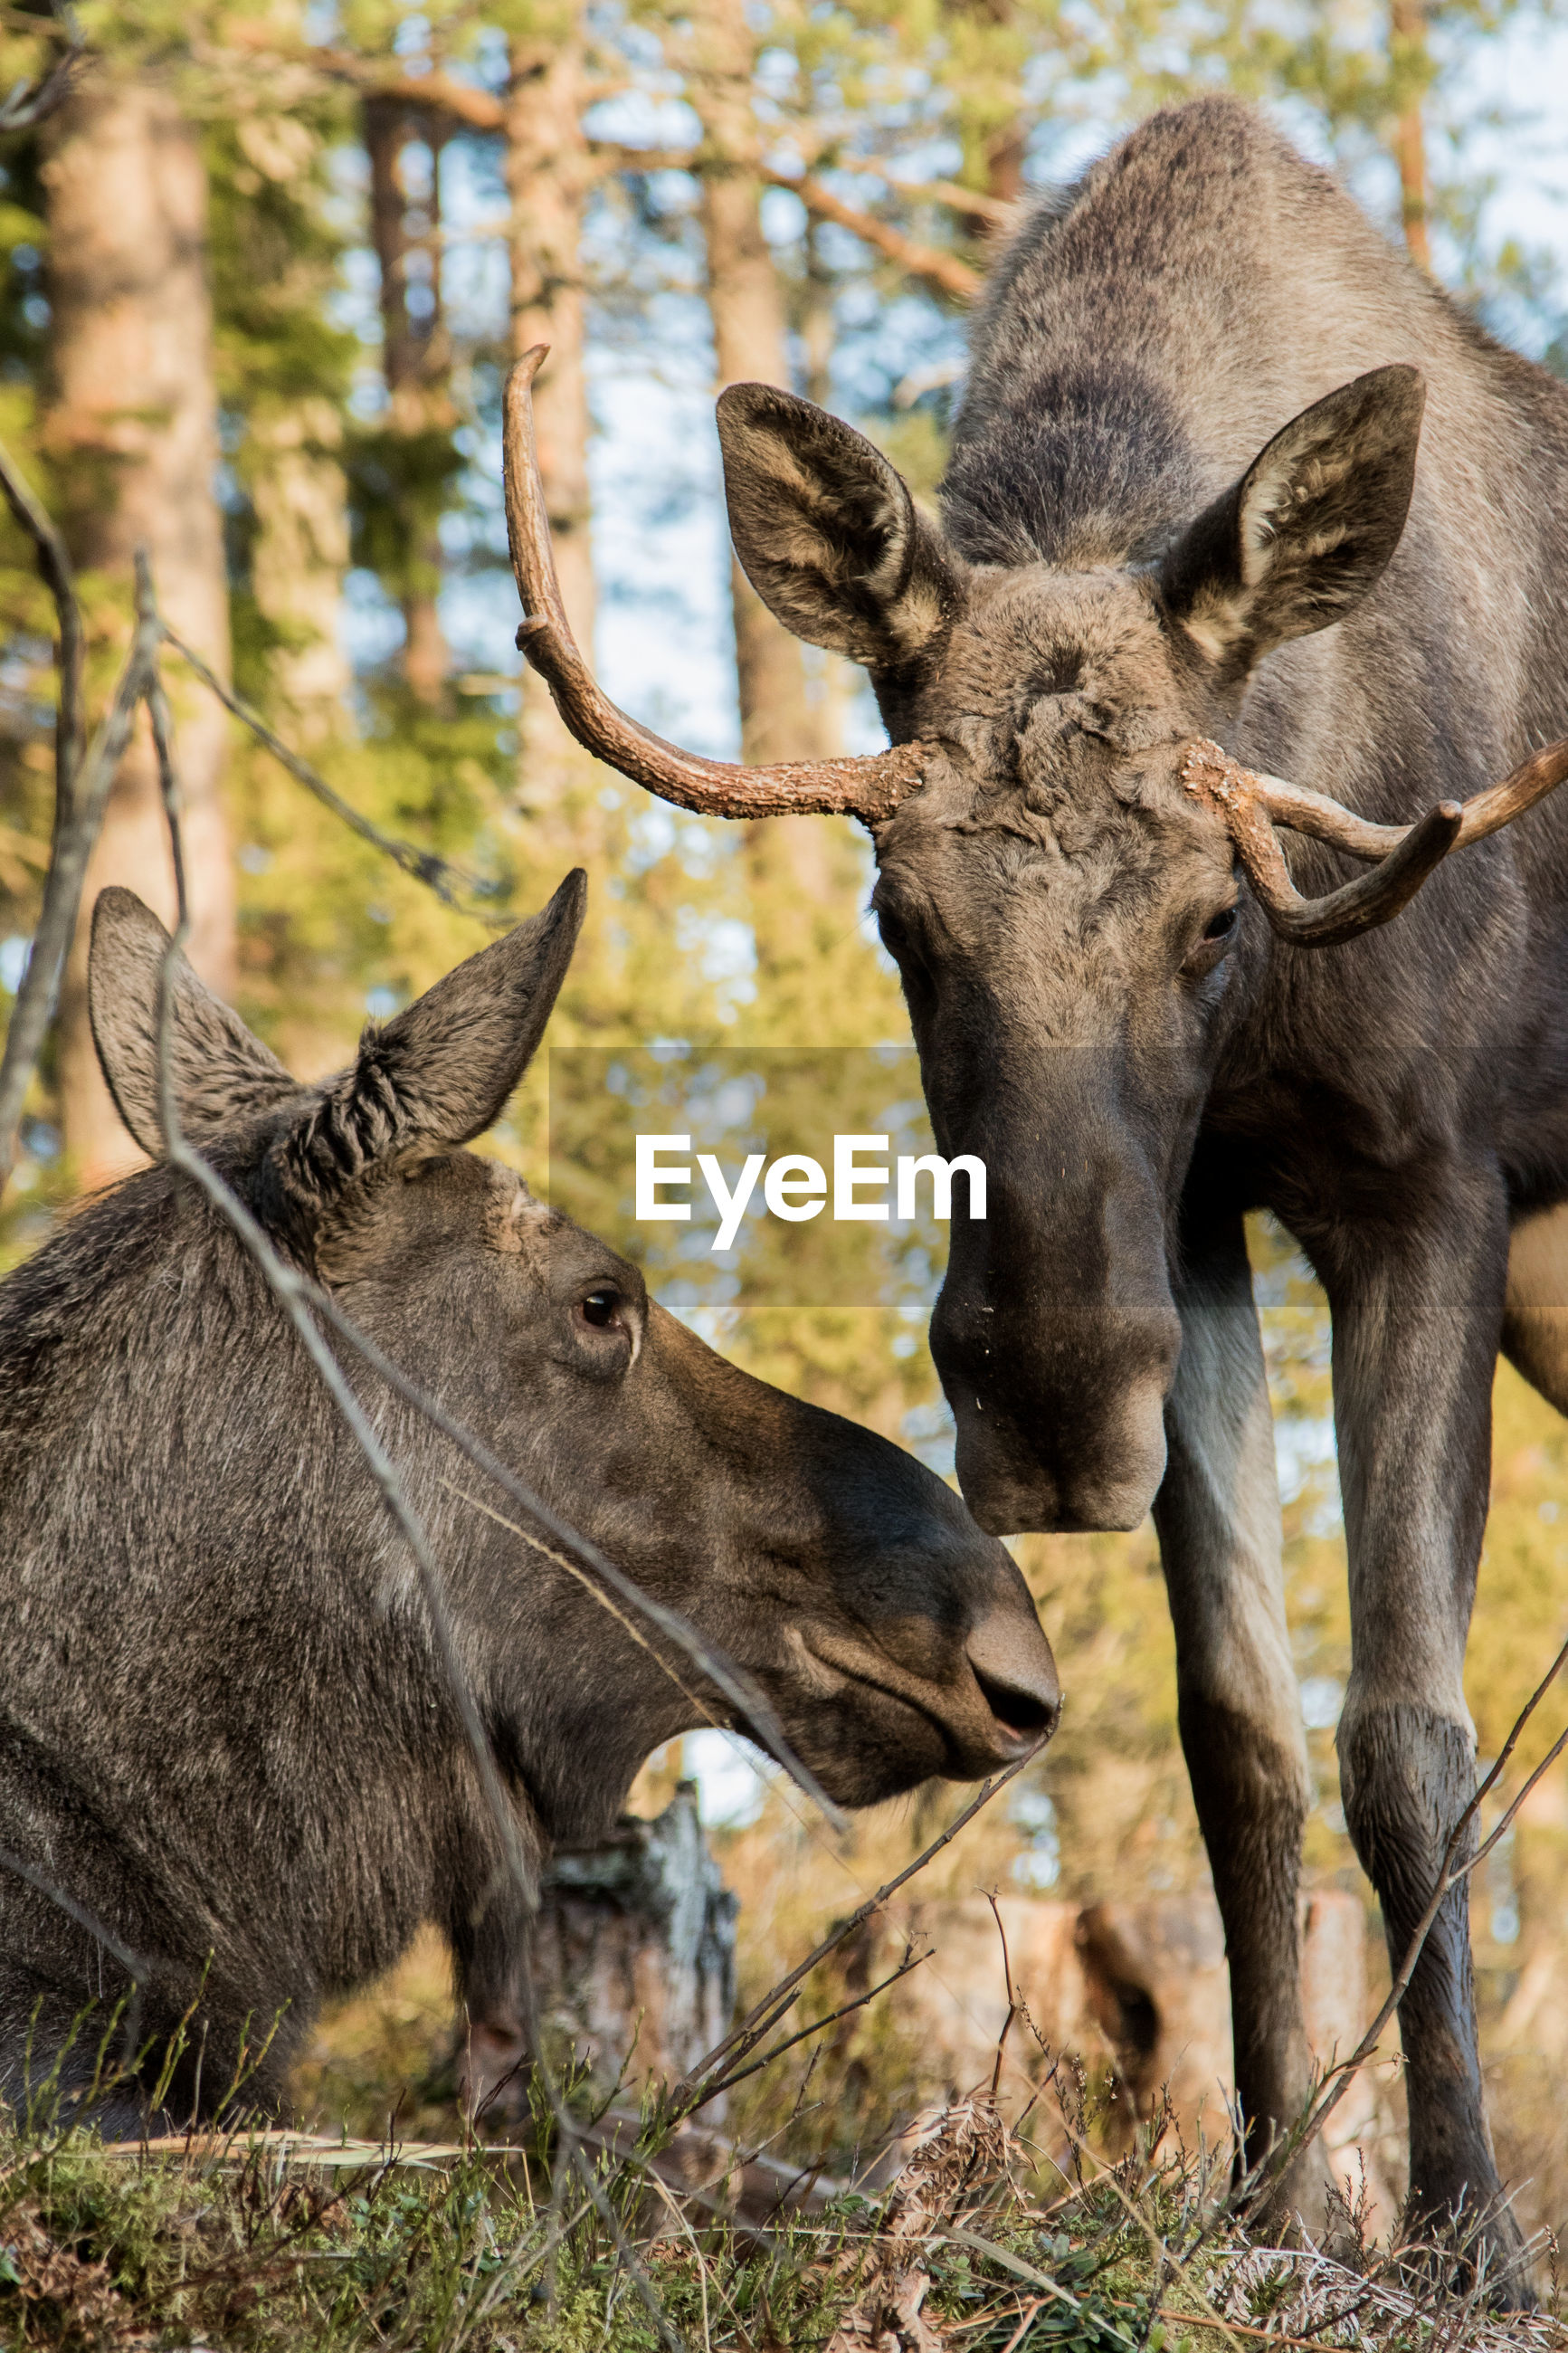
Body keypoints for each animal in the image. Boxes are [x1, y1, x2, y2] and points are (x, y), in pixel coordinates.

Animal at [497, 98, 1568, 2292]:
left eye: (1213, 911)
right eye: (899, 920)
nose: (1051, 1406)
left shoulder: (1429, 1181)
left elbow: (1404, 1738)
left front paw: (1465, 2234)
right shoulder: (1203, 1220)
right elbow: (1239, 1732)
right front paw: (1269, 2193)